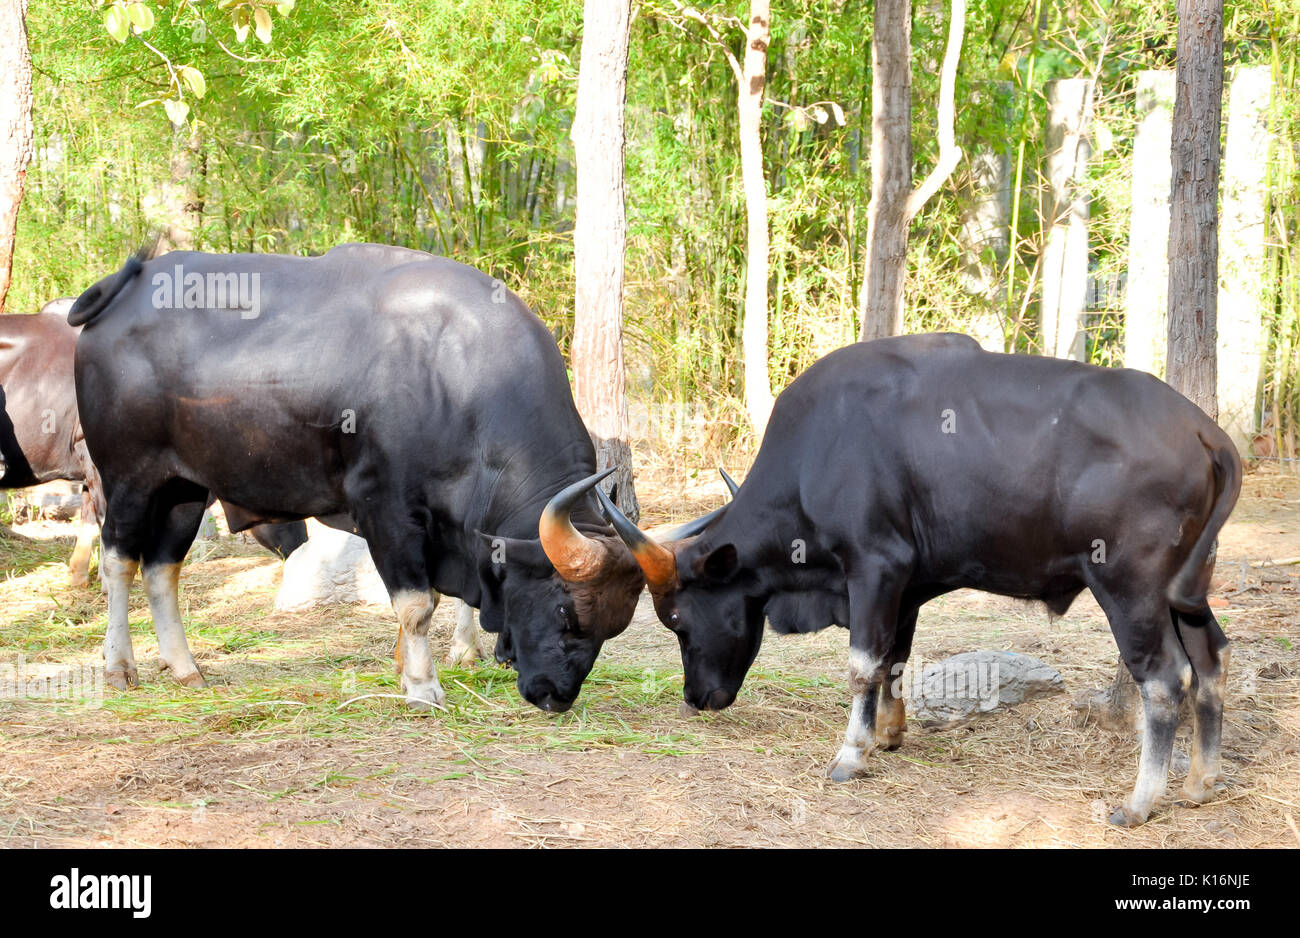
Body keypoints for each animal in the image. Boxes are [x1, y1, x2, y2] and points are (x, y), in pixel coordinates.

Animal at [69, 244, 647, 712]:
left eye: (611, 630)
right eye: (565, 612)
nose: (556, 695)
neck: (457, 379)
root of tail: (126, 285)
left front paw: (406, 667)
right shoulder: (385, 507)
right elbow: (417, 604)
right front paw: (422, 686)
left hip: (183, 488)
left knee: (162, 569)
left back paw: (185, 667)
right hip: (129, 478)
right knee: (118, 561)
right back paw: (119, 666)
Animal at [599, 333, 1241, 827]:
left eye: (676, 618)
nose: (696, 698)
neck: (818, 448)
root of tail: (1203, 430)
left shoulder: (872, 567)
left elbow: (863, 663)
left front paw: (852, 752)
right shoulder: (904, 586)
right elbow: (895, 658)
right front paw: (888, 732)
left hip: (1130, 590)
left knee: (1166, 679)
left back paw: (1140, 800)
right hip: (1185, 591)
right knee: (1212, 657)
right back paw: (1200, 780)